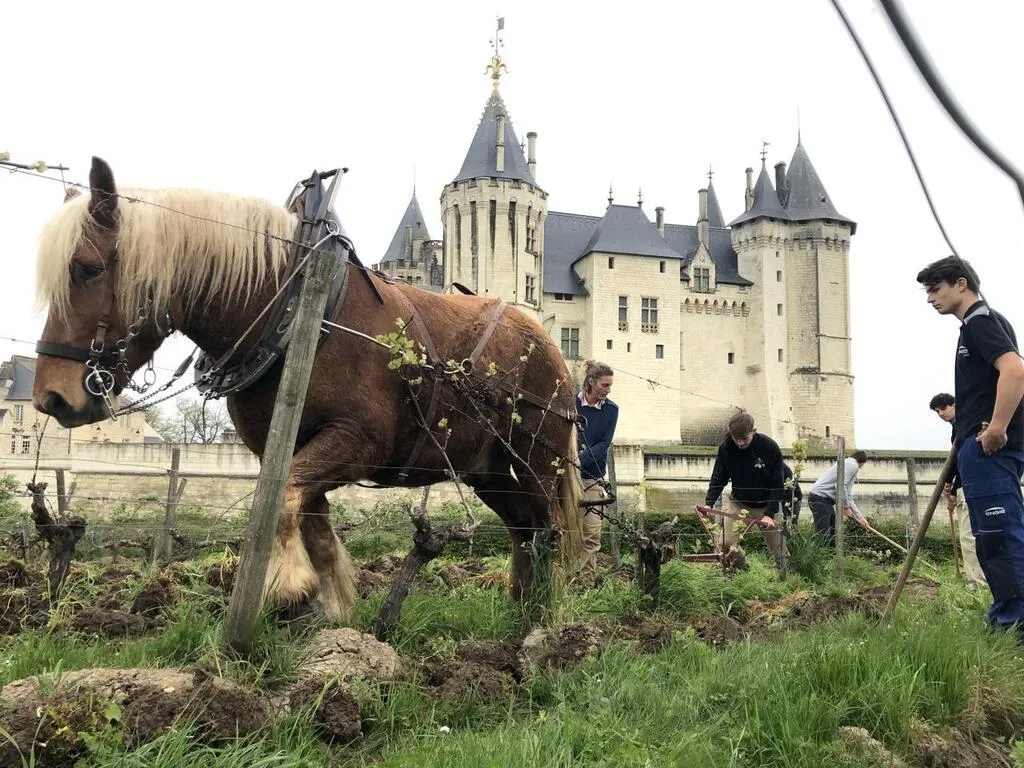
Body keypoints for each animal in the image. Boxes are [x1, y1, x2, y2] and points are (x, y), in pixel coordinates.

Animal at [31, 157, 583, 621]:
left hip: (537, 459)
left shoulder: (357, 440)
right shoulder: (293, 447)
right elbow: (311, 525)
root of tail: (548, 345)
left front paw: (287, 588)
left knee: (549, 526)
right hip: (488, 469)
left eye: (88, 268)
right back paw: (521, 608)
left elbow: (286, 499)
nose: (50, 397)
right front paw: (334, 611)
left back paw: (549, 617)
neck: (295, 312)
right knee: (523, 528)